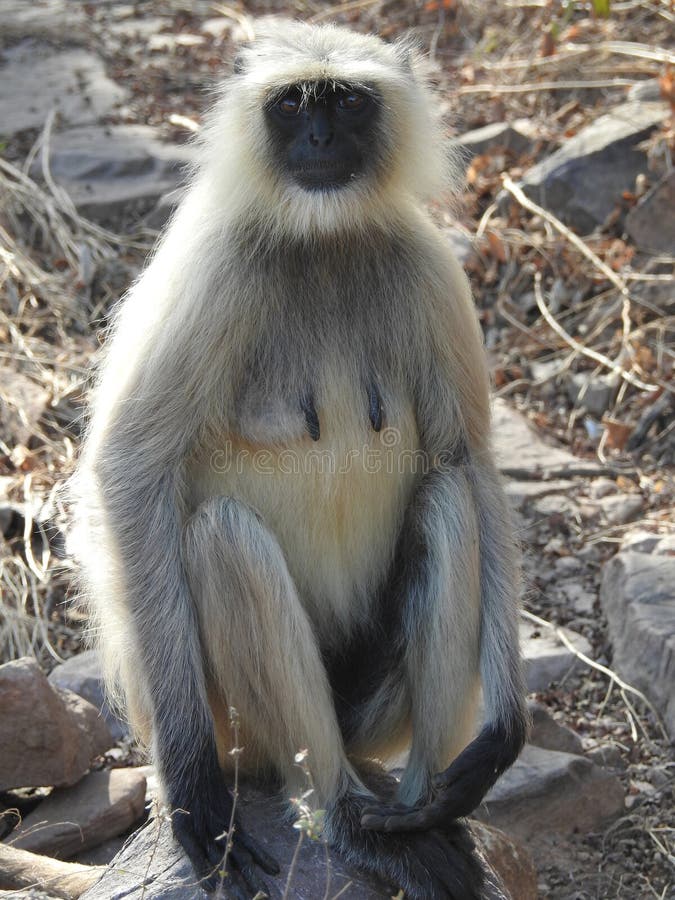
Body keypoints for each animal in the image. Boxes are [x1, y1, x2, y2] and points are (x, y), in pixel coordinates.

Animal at [71, 20, 528, 900]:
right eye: (291, 105)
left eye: (345, 102)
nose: (317, 139)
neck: (323, 237)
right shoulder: (217, 265)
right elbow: (132, 469)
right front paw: (191, 794)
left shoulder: (424, 261)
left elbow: (470, 461)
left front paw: (501, 736)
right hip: (237, 730)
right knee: (221, 537)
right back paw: (346, 818)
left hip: (375, 718)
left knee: (448, 499)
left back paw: (420, 817)